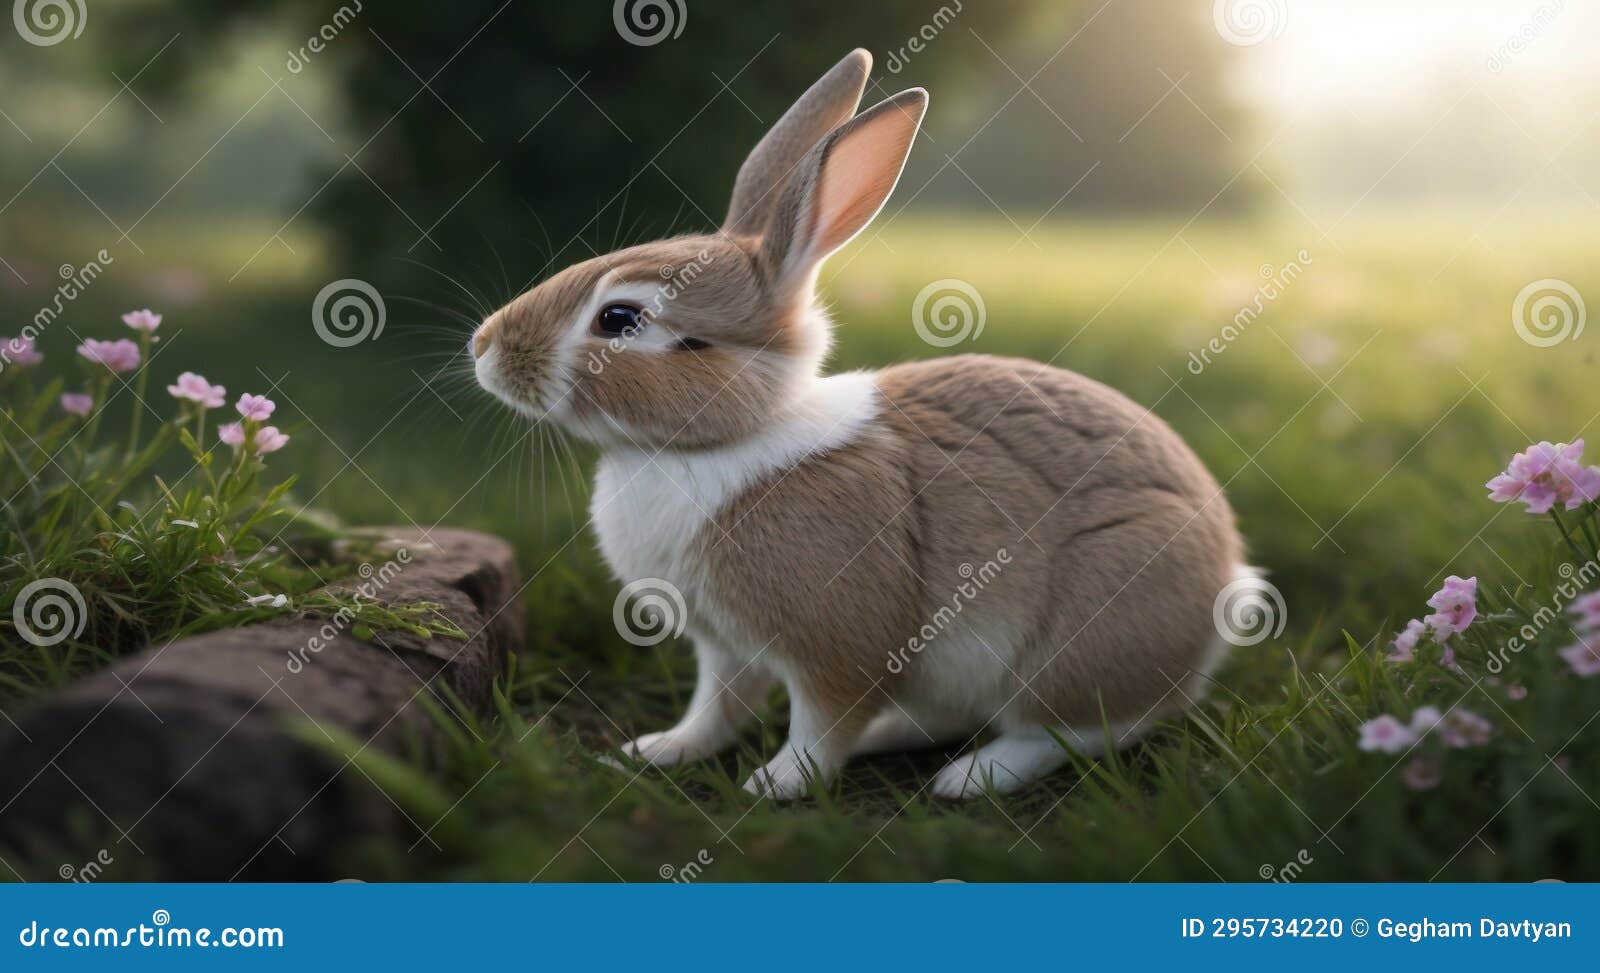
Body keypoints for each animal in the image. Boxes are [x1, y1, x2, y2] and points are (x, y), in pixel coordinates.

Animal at [471, 48, 1247, 800]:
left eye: (620, 319)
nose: (484, 347)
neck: (728, 438)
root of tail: (1227, 581)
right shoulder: (723, 646)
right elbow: (715, 707)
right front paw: (658, 750)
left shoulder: (834, 648)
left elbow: (820, 725)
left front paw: (777, 785)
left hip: (1077, 642)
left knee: (1081, 729)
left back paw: (970, 778)